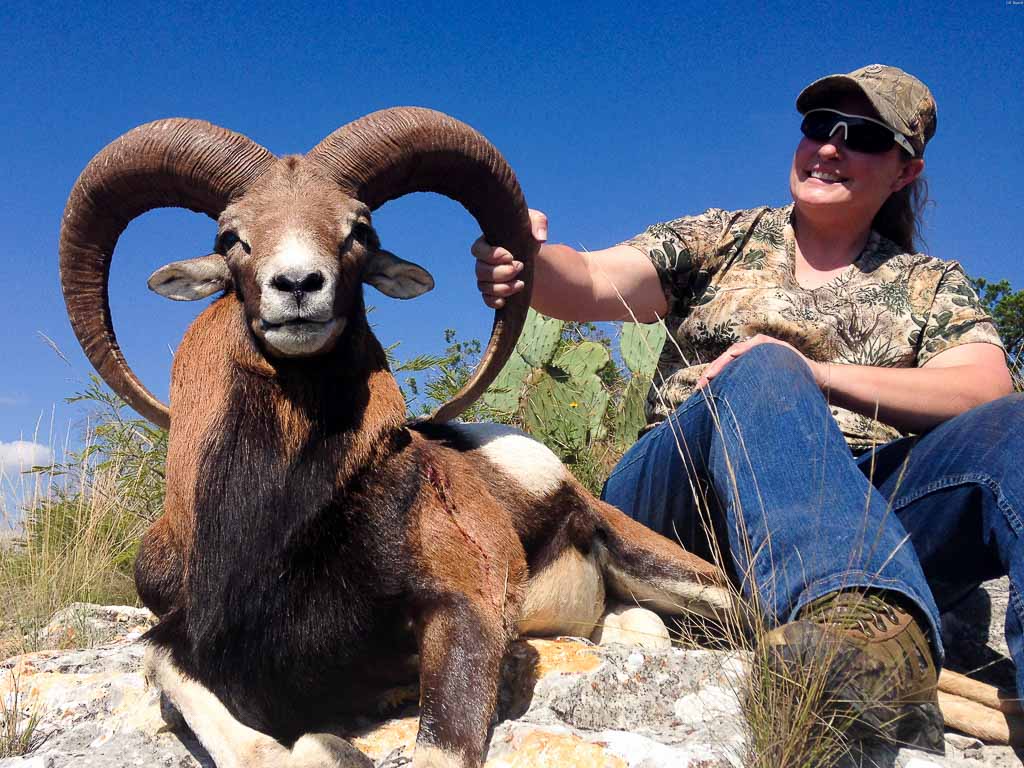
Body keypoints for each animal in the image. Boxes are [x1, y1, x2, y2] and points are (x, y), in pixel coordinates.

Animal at [59, 108, 732, 768]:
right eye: (230, 238)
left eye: (359, 230)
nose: (297, 286)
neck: (276, 527)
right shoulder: (187, 638)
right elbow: (172, 671)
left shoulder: (465, 603)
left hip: (669, 566)